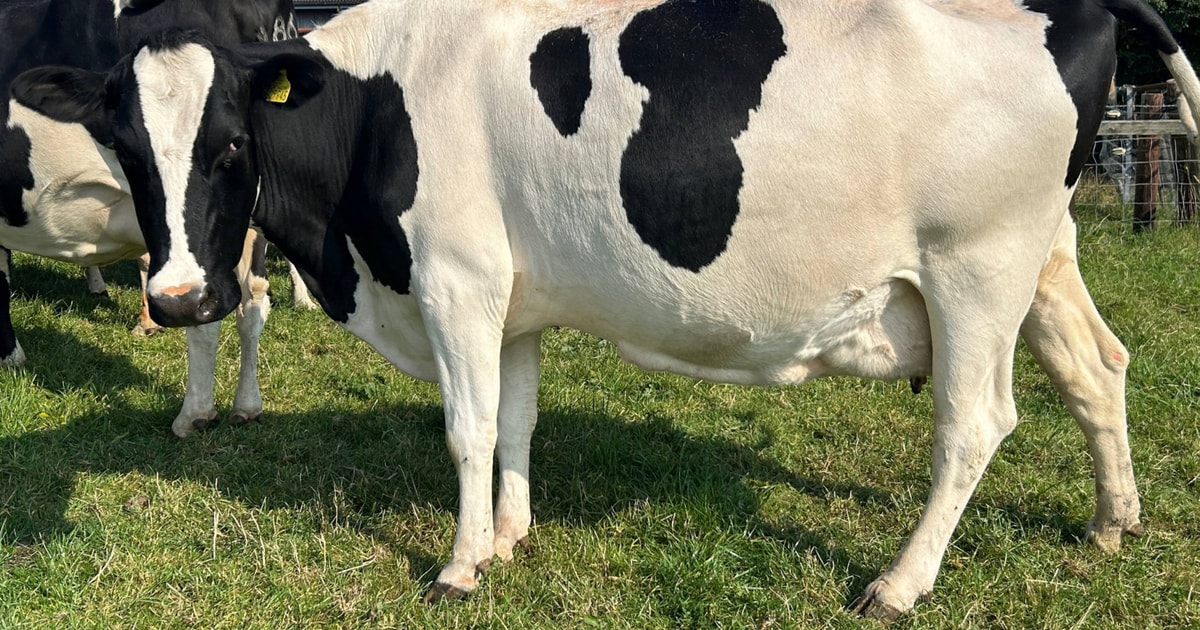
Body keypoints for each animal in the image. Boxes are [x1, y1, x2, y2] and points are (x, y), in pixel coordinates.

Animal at [0, 0, 306, 434]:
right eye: (123, 148)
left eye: (232, 140)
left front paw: (11, 355)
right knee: (251, 304)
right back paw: (247, 404)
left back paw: (193, 413)